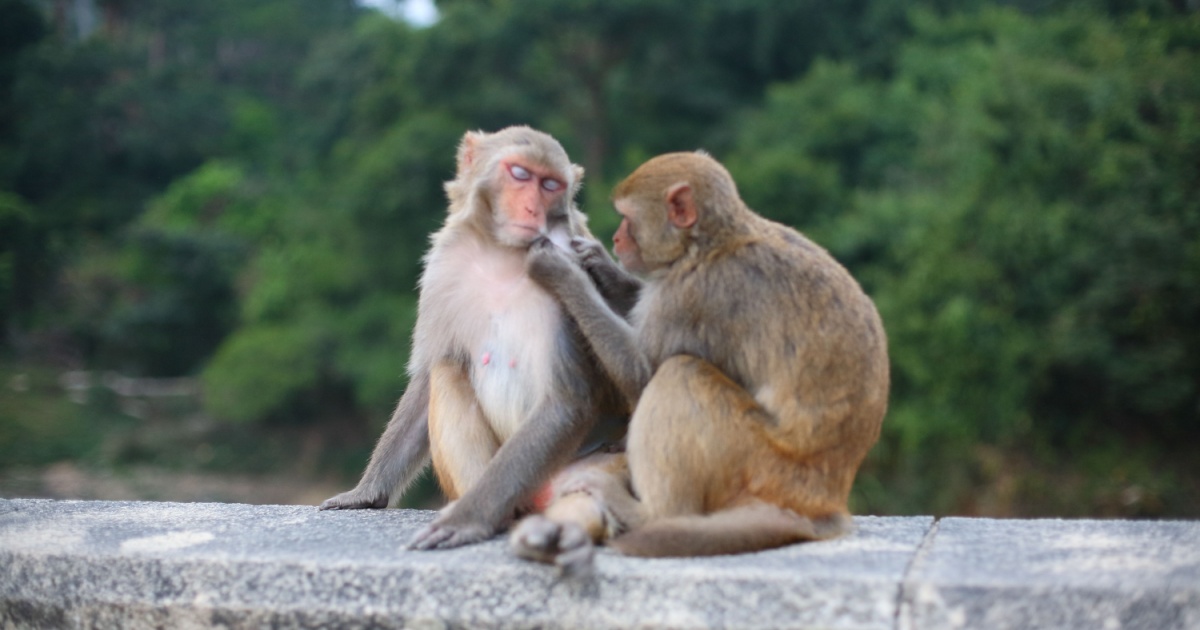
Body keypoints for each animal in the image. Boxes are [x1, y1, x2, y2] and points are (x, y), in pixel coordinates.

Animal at [319, 126, 629, 551]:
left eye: (550, 184)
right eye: (520, 174)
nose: (532, 210)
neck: (501, 254)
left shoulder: (565, 262)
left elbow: (567, 399)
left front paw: (467, 521)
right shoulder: (442, 270)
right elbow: (427, 376)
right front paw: (366, 493)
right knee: (448, 369)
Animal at [512, 151, 889, 564]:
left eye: (627, 216)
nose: (615, 238)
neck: (707, 243)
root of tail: (823, 503)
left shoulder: (691, 297)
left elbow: (642, 373)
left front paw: (561, 272)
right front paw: (599, 265)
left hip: (761, 465)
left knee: (680, 372)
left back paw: (651, 513)